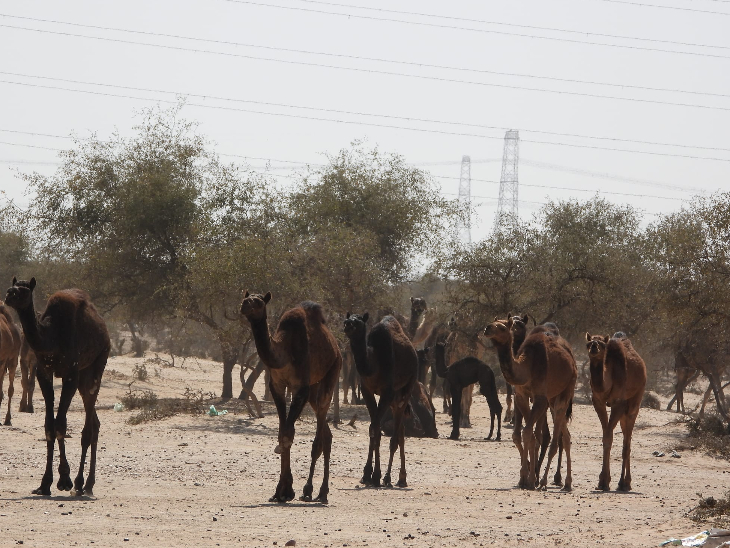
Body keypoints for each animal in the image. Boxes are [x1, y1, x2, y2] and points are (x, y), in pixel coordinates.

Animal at [5, 277, 110, 496]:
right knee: (95, 422)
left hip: (98, 363)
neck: (51, 337)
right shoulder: (44, 372)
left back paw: (80, 484)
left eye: (25, 290)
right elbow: (49, 426)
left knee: (88, 428)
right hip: (84, 376)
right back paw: (88, 484)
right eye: (14, 285)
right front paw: (44, 484)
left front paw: (64, 480)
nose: (9, 293)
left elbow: (61, 424)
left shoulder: (70, 374)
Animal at [240, 292, 341, 503]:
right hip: (314, 387)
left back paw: (313, 491)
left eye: (259, 302)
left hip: (333, 372)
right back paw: (321, 491)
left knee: (320, 431)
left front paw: (287, 490)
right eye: (247, 297)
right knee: (326, 434)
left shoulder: (300, 387)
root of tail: (336, 347)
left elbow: (287, 434)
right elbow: (282, 432)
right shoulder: (277, 386)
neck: (284, 355)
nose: (245, 304)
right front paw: (280, 491)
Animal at [343, 313, 417, 487]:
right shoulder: (367, 390)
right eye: (348, 319)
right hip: (395, 399)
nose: (347, 323)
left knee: (395, 438)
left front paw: (376, 475)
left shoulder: (387, 392)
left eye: (359, 321)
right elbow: (374, 430)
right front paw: (367, 475)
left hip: (407, 389)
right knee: (401, 431)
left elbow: (375, 428)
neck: (374, 363)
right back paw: (402, 478)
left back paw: (390, 478)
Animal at [483, 317, 576, 490]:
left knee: (555, 441)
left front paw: (531, 479)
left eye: (503, 327)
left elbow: (528, 432)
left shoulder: (540, 398)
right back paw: (567, 482)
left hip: (567, 389)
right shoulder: (521, 395)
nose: (488, 328)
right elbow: (525, 434)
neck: (527, 367)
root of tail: (571, 360)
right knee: (565, 435)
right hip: (553, 399)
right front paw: (525, 478)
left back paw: (545, 481)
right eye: (493, 322)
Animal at [586, 332, 646, 491]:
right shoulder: (598, 401)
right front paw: (602, 481)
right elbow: (606, 436)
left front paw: (605, 481)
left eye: (602, 344)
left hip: (635, 403)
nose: (594, 347)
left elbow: (609, 437)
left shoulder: (619, 403)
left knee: (627, 443)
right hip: (624, 413)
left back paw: (624, 483)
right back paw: (624, 482)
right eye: (588, 343)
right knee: (626, 438)